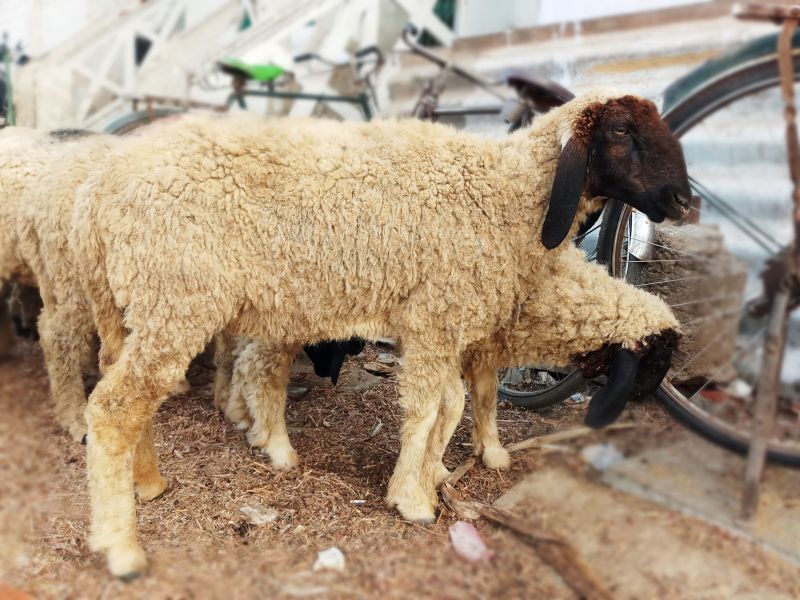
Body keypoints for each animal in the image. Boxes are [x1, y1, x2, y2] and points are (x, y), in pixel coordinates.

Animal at [70, 91, 689, 577]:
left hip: (134, 306)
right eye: (620, 131)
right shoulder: (438, 316)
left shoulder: (448, 325)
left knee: (136, 395)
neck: (505, 195)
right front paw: (412, 498)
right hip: (177, 298)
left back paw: (149, 483)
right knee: (116, 408)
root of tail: (99, 191)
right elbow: (434, 407)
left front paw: (439, 473)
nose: (685, 201)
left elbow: (455, 402)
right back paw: (122, 545)